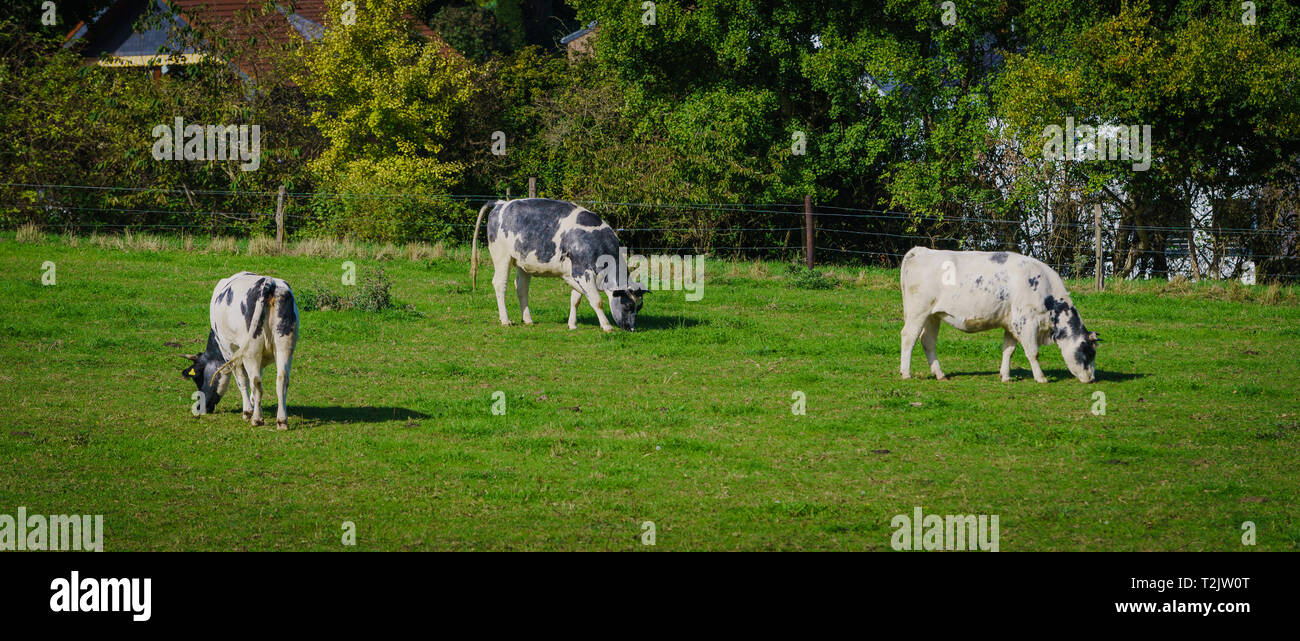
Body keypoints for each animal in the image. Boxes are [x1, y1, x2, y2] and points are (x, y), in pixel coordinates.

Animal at [179, 272, 299, 429]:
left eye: (197, 377)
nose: (200, 408)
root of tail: (269, 283)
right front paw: (255, 405)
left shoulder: (229, 353)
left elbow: (241, 380)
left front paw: (248, 412)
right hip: (285, 346)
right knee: (281, 380)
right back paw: (282, 421)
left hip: (250, 351)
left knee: (256, 382)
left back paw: (256, 419)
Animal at [470, 198, 646, 332]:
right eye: (628, 305)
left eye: (640, 307)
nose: (631, 328)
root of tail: (501, 203)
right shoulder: (583, 272)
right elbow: (597, 301)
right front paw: (607, 326)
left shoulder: (575, 274)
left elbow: (576, 299)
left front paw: (572, 324)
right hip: (502, 256)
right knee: (500, 284)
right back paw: (505, 320)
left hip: (523, 261)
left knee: (521, 287)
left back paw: (528, 319)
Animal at [898, 247, 1100, 383]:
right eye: (1089, 352)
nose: (1091, 378)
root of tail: (921, 250)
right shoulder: (1026, 322)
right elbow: (1033, 352)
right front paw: (1041, 377)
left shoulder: (1011, 324)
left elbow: (1008, 350)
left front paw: (1005, 376)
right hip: (918, 312)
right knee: (908, 337)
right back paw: (906, 373)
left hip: (933, 315)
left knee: (928, 341)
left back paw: (940, 374)